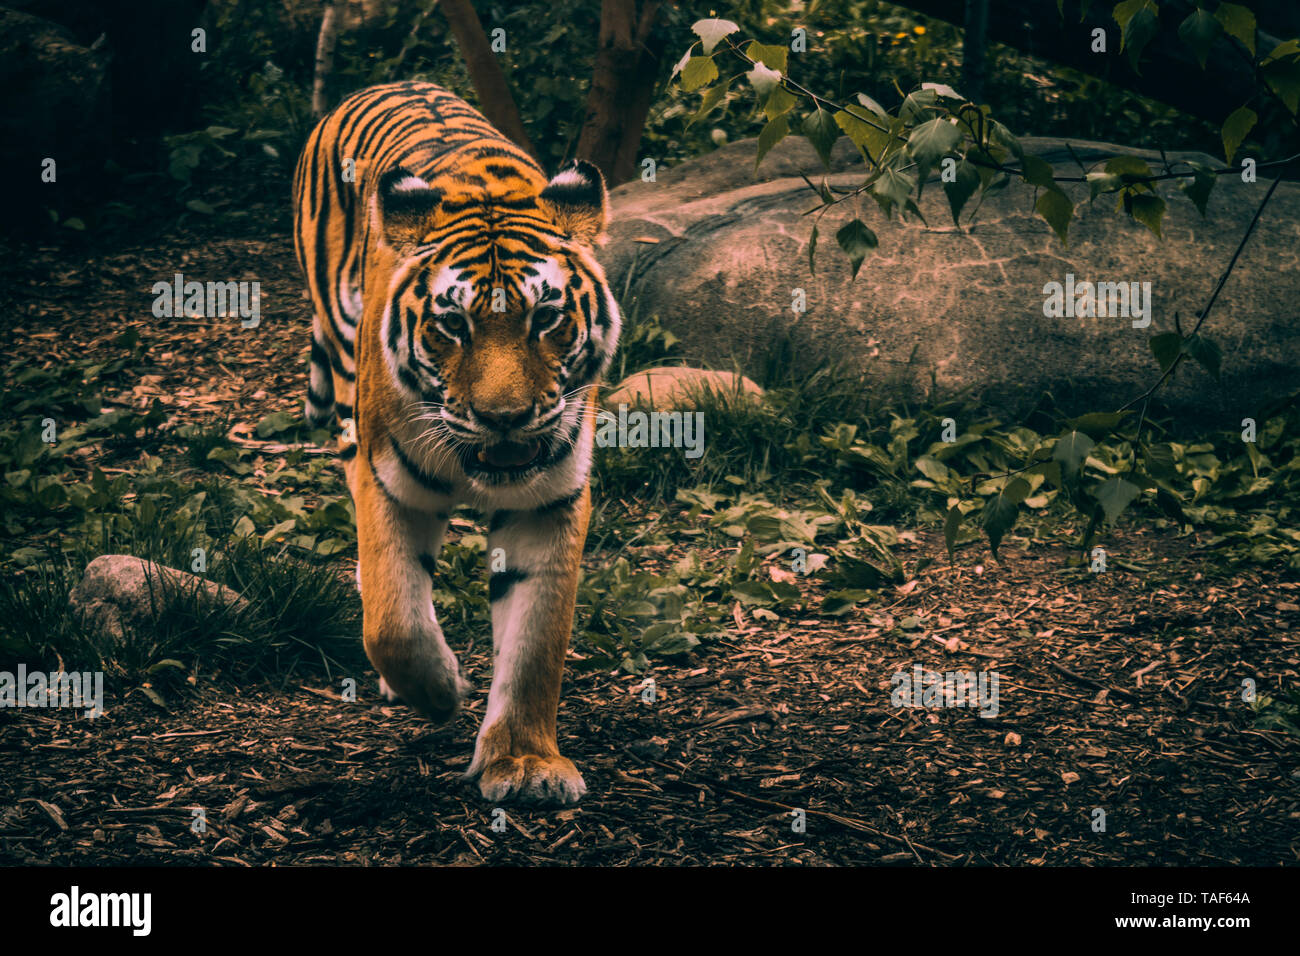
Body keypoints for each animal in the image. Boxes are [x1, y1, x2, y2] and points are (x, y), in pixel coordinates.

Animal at [292, 80, 621, 806]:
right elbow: (394, 620)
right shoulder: (390, 485)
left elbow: (535, 644)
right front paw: (440, 693)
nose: (506, 417)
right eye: (452, 326)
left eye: (546, 318)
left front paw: (524, 763)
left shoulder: (549, 501)